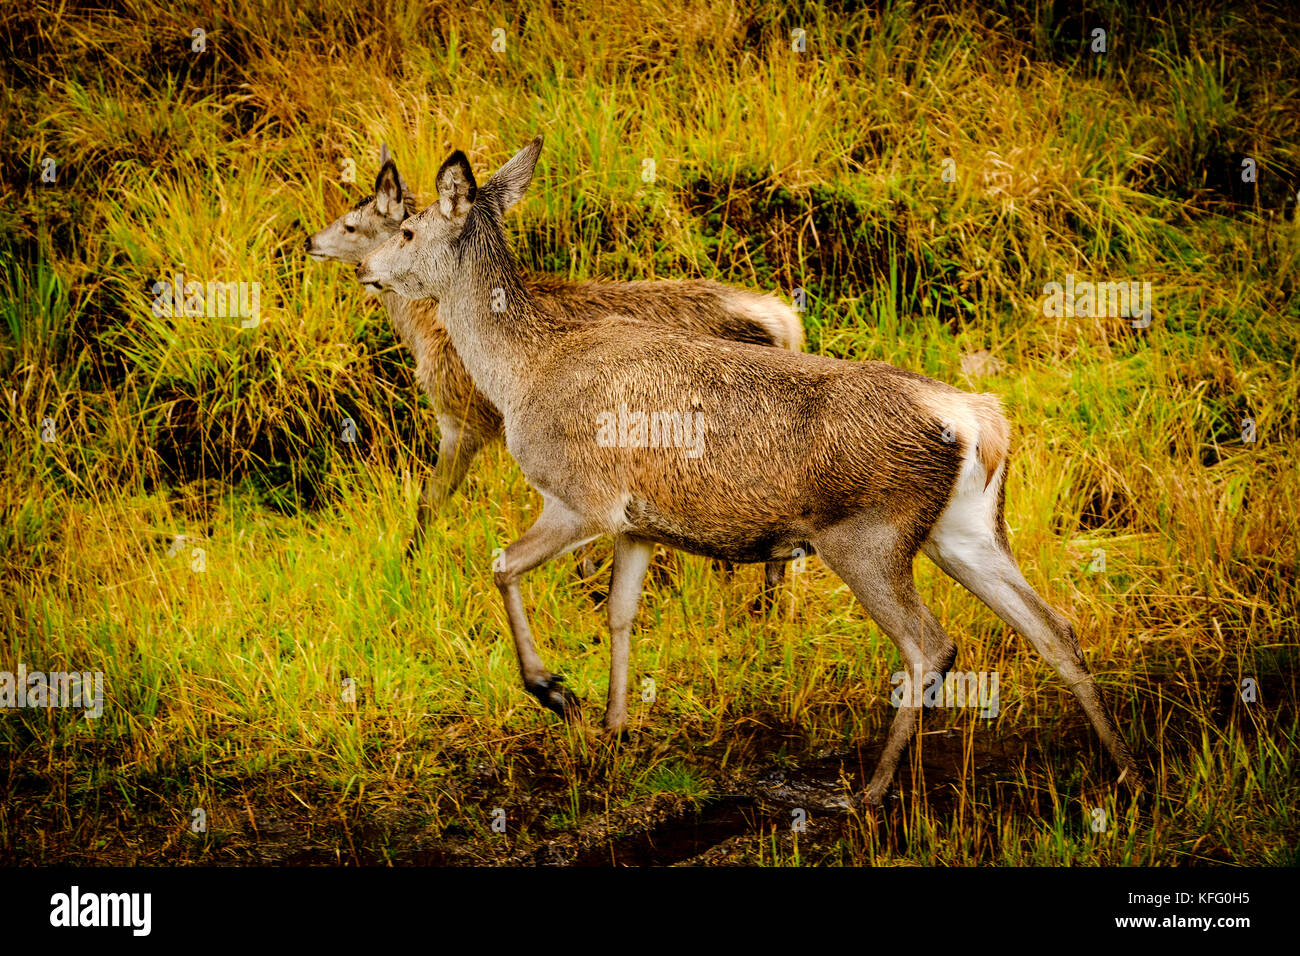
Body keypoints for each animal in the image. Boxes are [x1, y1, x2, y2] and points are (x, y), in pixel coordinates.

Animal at [305, 145, 800, 600]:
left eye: (351, 225)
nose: (311, 242)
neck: (428, 330)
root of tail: (786, 322)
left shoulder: (463, 418)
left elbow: (431, 501)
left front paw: (407, 571)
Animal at [355, 135, 1141, 804]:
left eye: (406, 231)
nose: (365, 270)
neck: (522, 370)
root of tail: (980, 419)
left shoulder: (583, 495)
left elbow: (503, 566)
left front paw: (553, 690)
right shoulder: (639, 524)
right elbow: (620, 614)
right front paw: (613, 727)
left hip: (869, 534)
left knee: (930, 645)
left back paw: (871, 792)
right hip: (965, 528)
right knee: (1055, 630)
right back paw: (1127, 771)